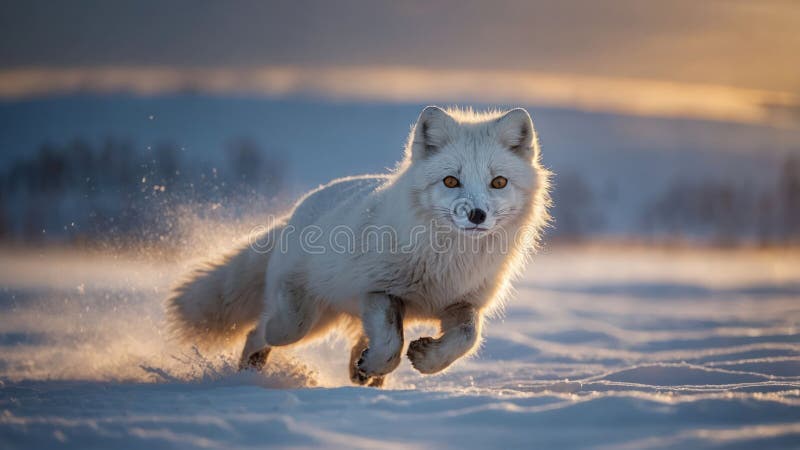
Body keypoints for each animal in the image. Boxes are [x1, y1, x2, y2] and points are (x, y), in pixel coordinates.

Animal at [166, 106, 551, 386]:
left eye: (498, 182)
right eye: (450, 181)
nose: (476, 215)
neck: (446, 263)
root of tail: (298, 209)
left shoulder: (463, 303)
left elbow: (466, 339)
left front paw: (426, 360)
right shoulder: (378, 291)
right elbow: (392, 343)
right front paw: (384, 361)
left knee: (347, 340)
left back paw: (360, 371)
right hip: (303, 321)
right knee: (260, 330)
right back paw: (251, 371)